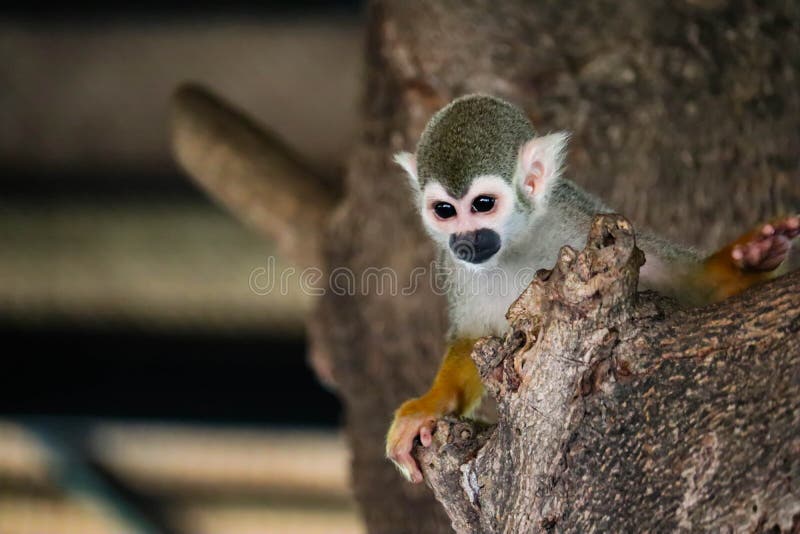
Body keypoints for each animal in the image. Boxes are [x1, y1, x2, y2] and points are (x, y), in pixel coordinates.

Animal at [386, 94, 800, 484]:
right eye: (444, 210)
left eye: (483, 204)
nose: (465, 241)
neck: (516, 243)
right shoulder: (454, 268)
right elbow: (472, 339)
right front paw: (429, 406)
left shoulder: (579, 218)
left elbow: (677, 281)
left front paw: (747, 260)